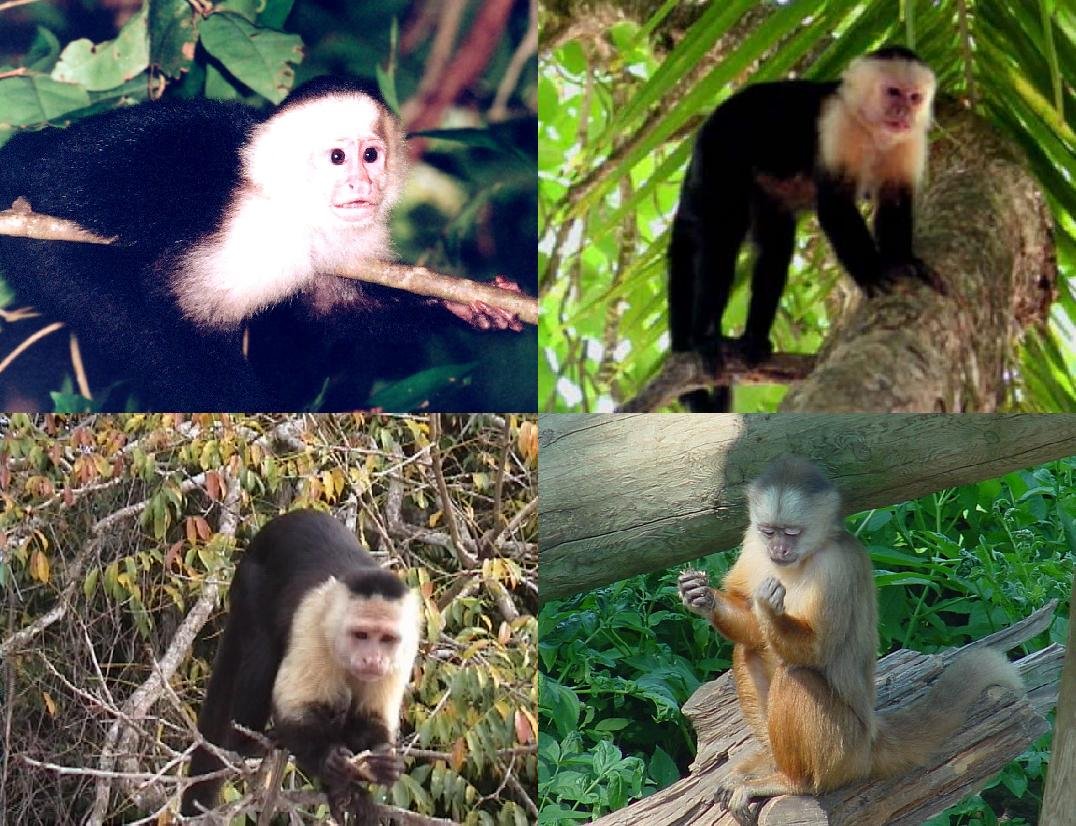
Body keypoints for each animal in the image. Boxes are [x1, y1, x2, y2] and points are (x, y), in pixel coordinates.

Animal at [0, 76, 526, 411]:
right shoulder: (251, 235)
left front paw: (469, 308)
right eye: (338, 158)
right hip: (43, 251)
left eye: (372, 156)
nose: (363, 186)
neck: (284, 201)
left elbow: (328, 307)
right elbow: (172, 315)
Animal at [181, 509, 420, 823]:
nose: (373, 660)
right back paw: (250, 743)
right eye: (361, 635)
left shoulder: (406, 647)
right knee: (263, 649)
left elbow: (371, 717)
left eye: (387, 639)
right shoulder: (313, 623)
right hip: (249, 585)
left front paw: (380, 764)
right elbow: (295, 710)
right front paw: (327, 760)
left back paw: (344, 793)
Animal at [668, 47, 939, 411]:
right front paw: (873, 273)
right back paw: (704, 337)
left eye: (914, 97)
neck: (871, 130)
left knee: (776, 246)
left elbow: (895, 202)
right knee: (722, 238)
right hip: (719, 154)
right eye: (893, 92)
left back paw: (753, 340)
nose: (904, 111)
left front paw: (903, 261)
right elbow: (835, 205)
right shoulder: (837, 124)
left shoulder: (908, 143)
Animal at [677, 456, 1023, 825]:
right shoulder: (753, 543)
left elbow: (819, 651)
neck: (802, 558)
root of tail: (869, 742)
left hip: (842, 752)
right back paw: (771, 759)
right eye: (769, 531)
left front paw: (768, 608)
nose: (778, 549)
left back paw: (793, 781)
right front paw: (702, 597)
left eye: (791, 533)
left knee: (796, 675)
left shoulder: (837, 567)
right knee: (749, 650)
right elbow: (755, 632)